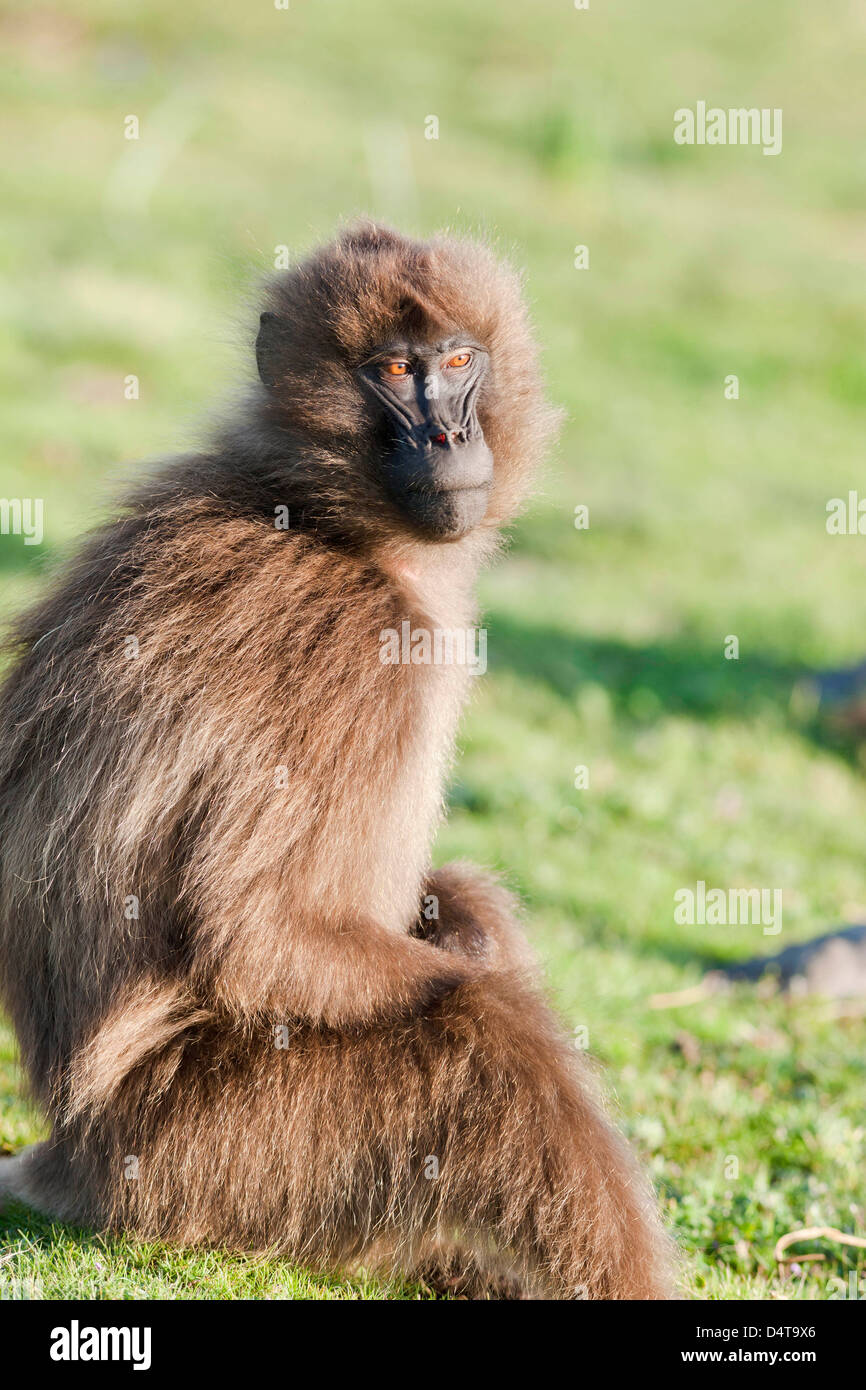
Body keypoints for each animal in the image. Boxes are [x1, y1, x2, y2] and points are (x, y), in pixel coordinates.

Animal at [0, 223, 673, 1298]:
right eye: (393, 372)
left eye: (458, 361)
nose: (446, 440)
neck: (320, 517)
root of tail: (66, 1155)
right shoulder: (356, 650)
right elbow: (258, 934)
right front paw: (466, 964)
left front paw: (463, 923)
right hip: (209, 1153)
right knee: (478, 1036)